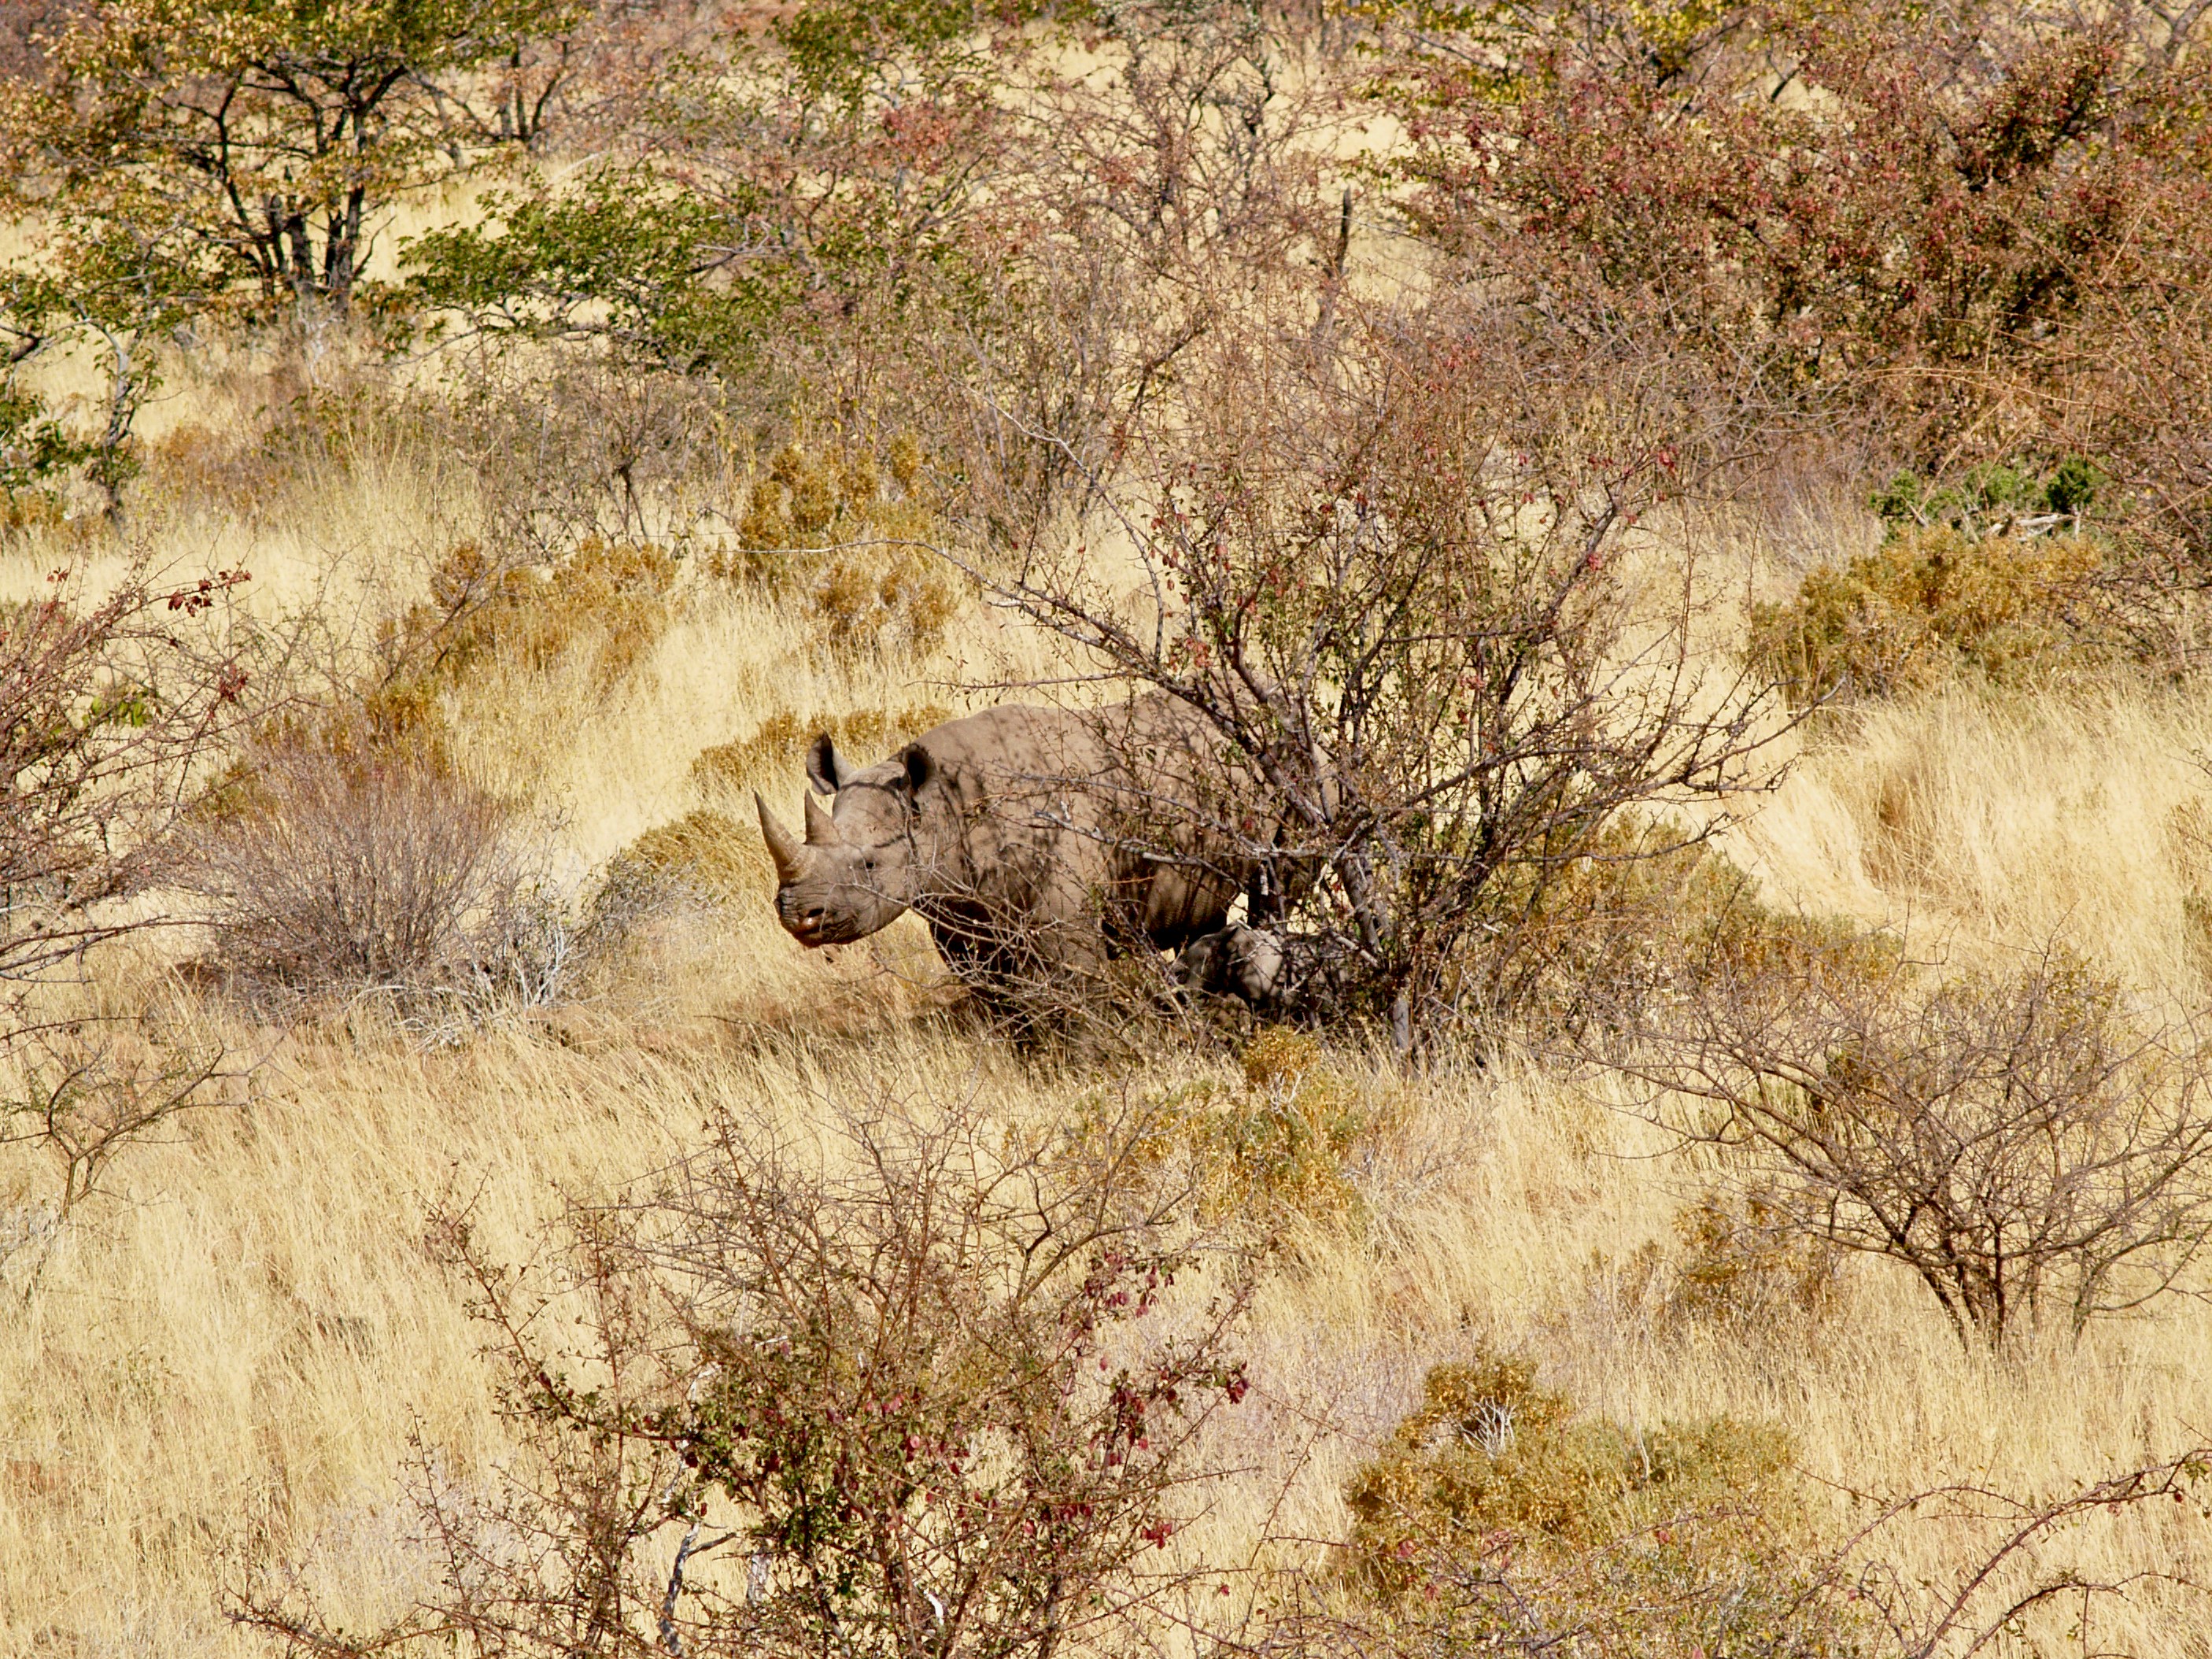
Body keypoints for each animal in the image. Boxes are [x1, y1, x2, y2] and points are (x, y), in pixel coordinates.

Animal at [754, 697, 1259, 990]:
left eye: (870, 866)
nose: (797, 915)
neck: (937, 809)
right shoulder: (958, 917)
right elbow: (996, 1000)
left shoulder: (1064, 914)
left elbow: (1078, 991)